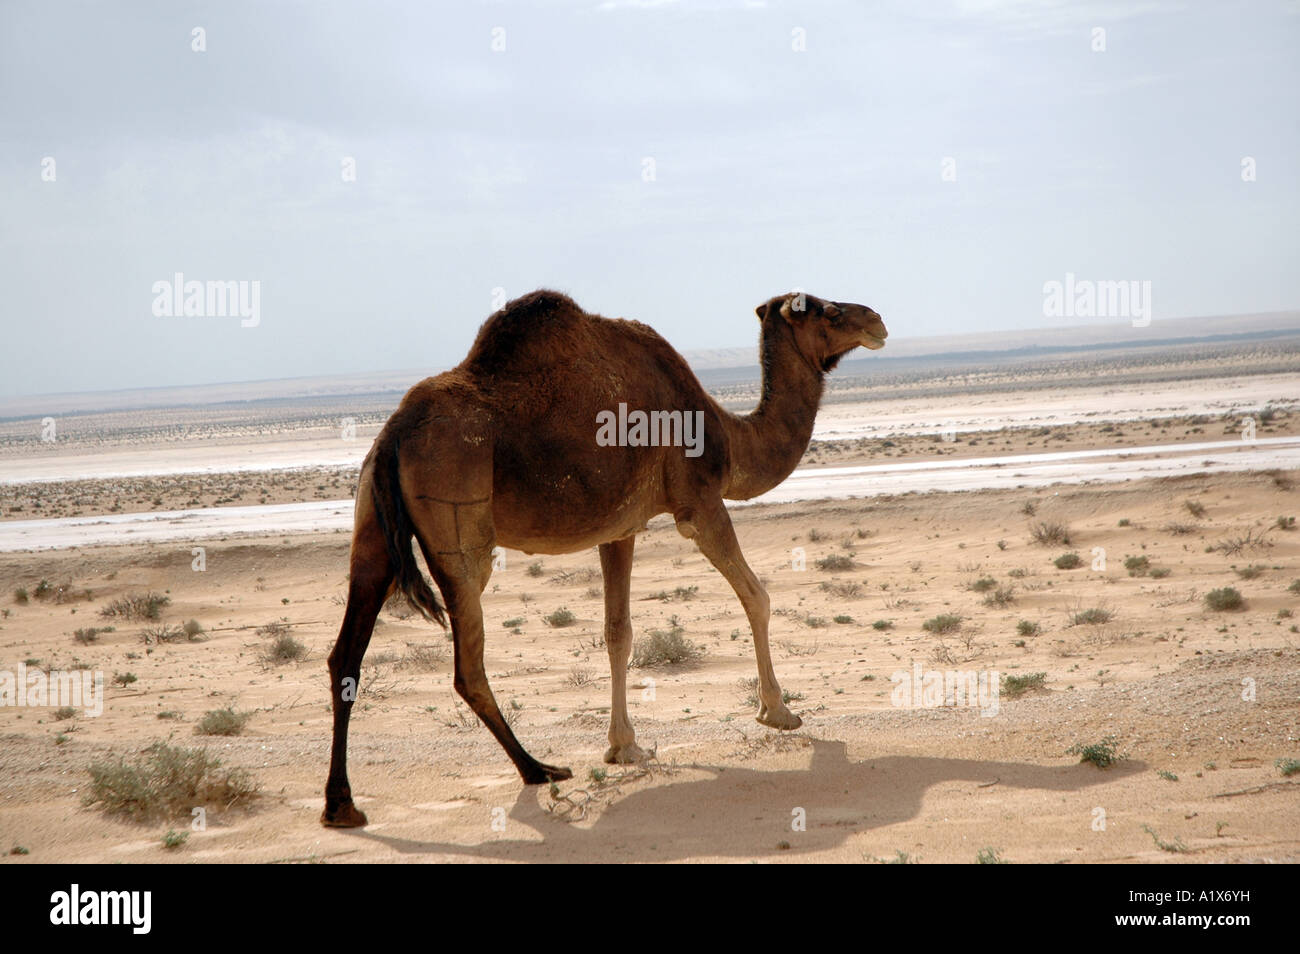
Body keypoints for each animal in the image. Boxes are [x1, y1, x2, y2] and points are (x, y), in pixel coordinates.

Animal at [322, 289, 888, 827]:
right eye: (829, 310)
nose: (878, 320)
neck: (727, 433)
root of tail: (392, 434)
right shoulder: (699, 503)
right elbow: (756, 596)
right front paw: (779, 712)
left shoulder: (619, 529)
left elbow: (619, 632)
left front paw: (624, 746)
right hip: (459, 525)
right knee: (467, 664)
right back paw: (537, 769)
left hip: (371, 526)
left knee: (346, 653)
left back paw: (342, 804)